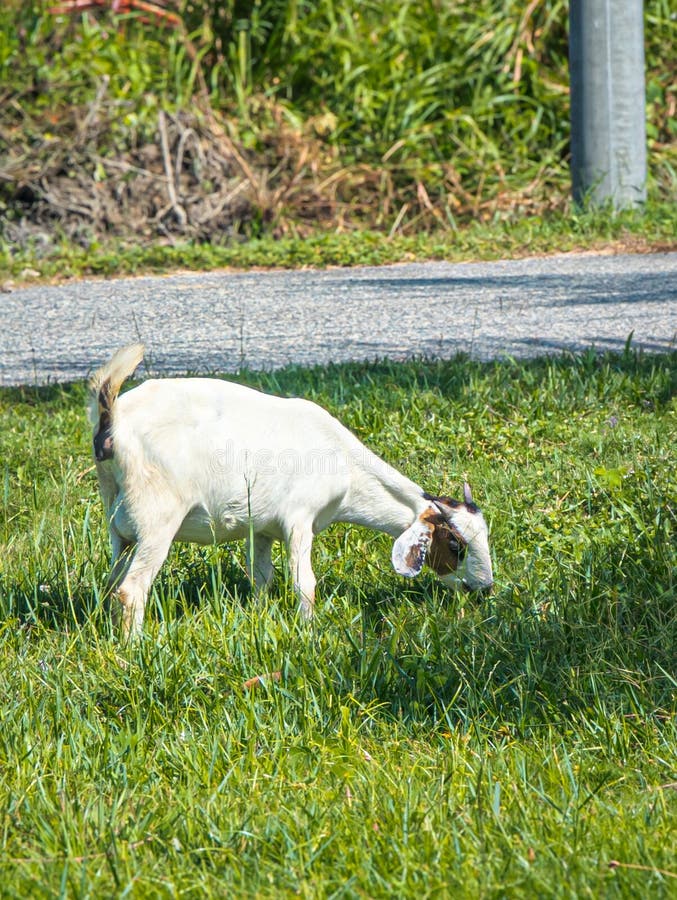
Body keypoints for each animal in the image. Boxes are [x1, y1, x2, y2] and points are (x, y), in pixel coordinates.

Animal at [89, 344, 493, 638]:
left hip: (118, 521)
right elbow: (304, 583)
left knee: (112, 581)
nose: (485, 589)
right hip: (157, 519)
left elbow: (261, 577)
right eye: (456, 545)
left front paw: (260, 618)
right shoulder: (299, 518)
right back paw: (135, 647)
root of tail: (113, 423)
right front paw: (310, 634)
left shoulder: (261, 527)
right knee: (131, 588)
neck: (342, 460)